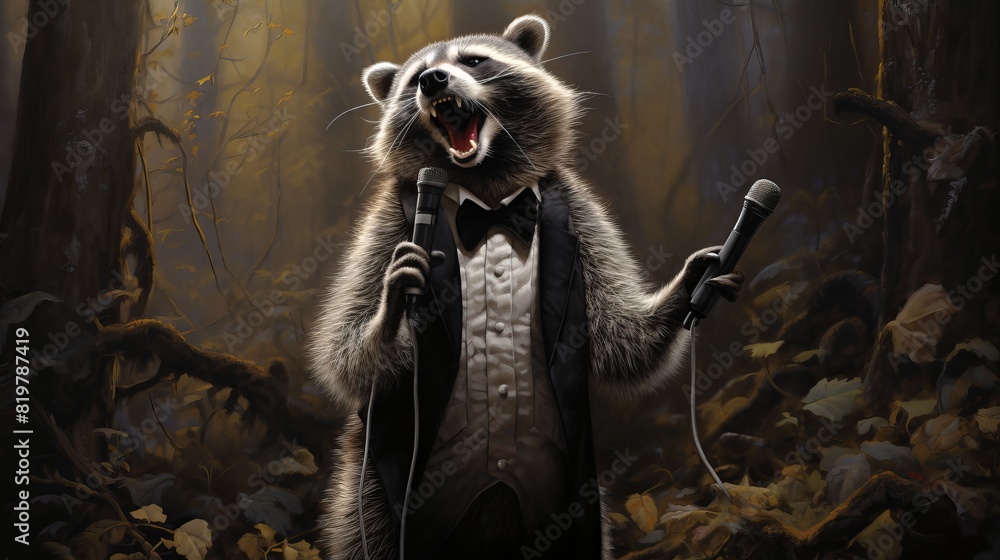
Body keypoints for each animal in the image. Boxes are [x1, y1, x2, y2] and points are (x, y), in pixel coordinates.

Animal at [308, 14, 742, 560]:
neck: (488, 195)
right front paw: (392, 313)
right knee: (368, 532)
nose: (433, 81)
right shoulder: (385, 224)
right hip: (371, 490)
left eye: (473, 60)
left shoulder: (577, 209)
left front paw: (689, 283)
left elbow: (619, 339)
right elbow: (343, 353)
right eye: (414, 80)